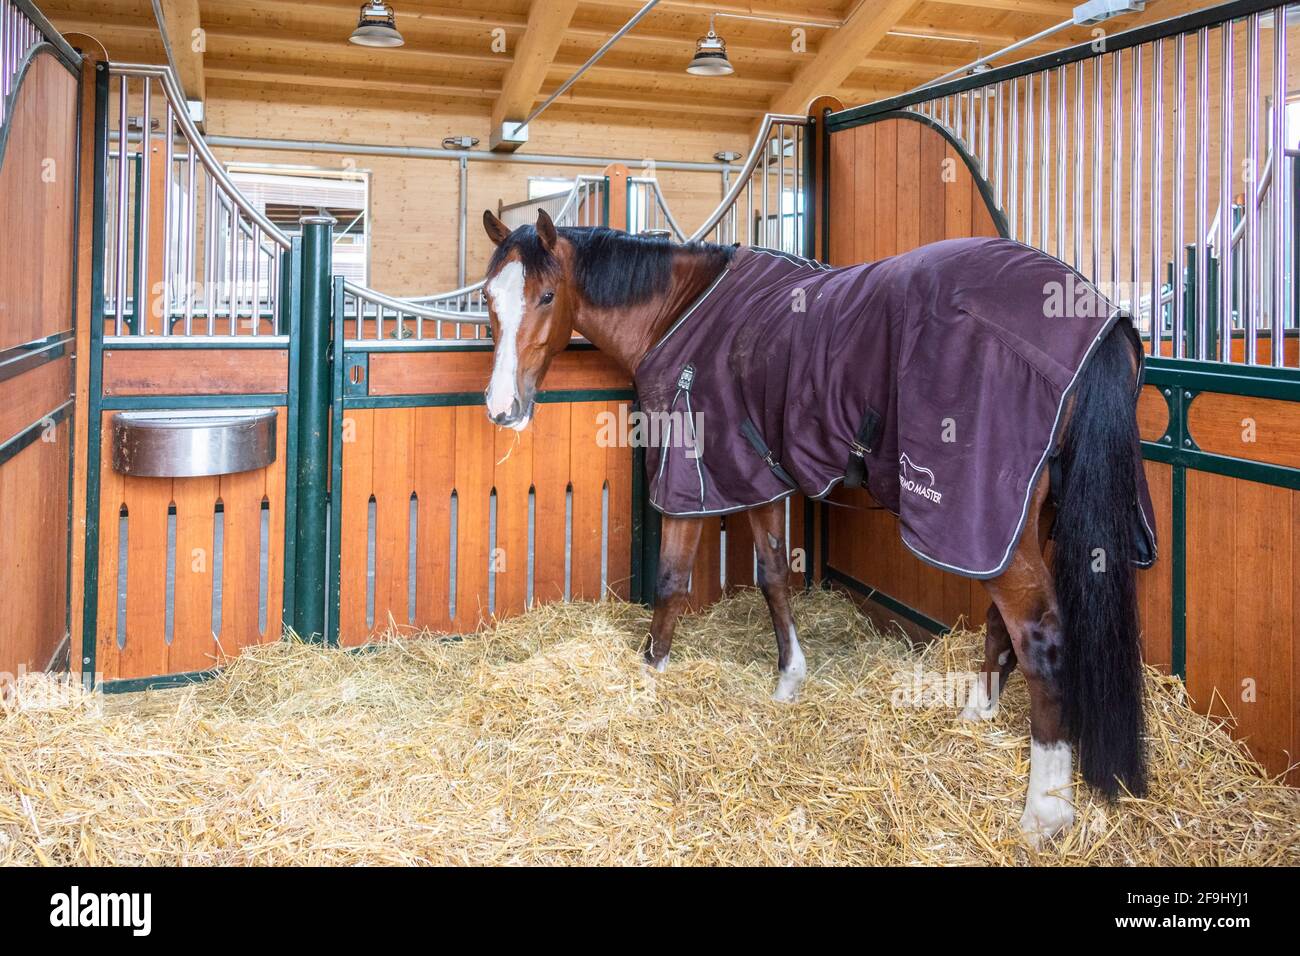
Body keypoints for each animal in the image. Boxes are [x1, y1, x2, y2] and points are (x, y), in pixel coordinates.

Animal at [478, 207, 1154, 844]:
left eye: (546, 295)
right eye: (488, 298)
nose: (502, 410)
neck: (680, 310)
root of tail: (1096, 320)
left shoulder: (693, 475)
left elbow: (671, 582)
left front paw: (650, 676)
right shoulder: (754, 474)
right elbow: (775, 574)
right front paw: (789, 680)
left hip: (980, 521)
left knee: (1040, 633)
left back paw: (1045, 809)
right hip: (1018, 523)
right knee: (1005, 620)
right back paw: (979, 712)